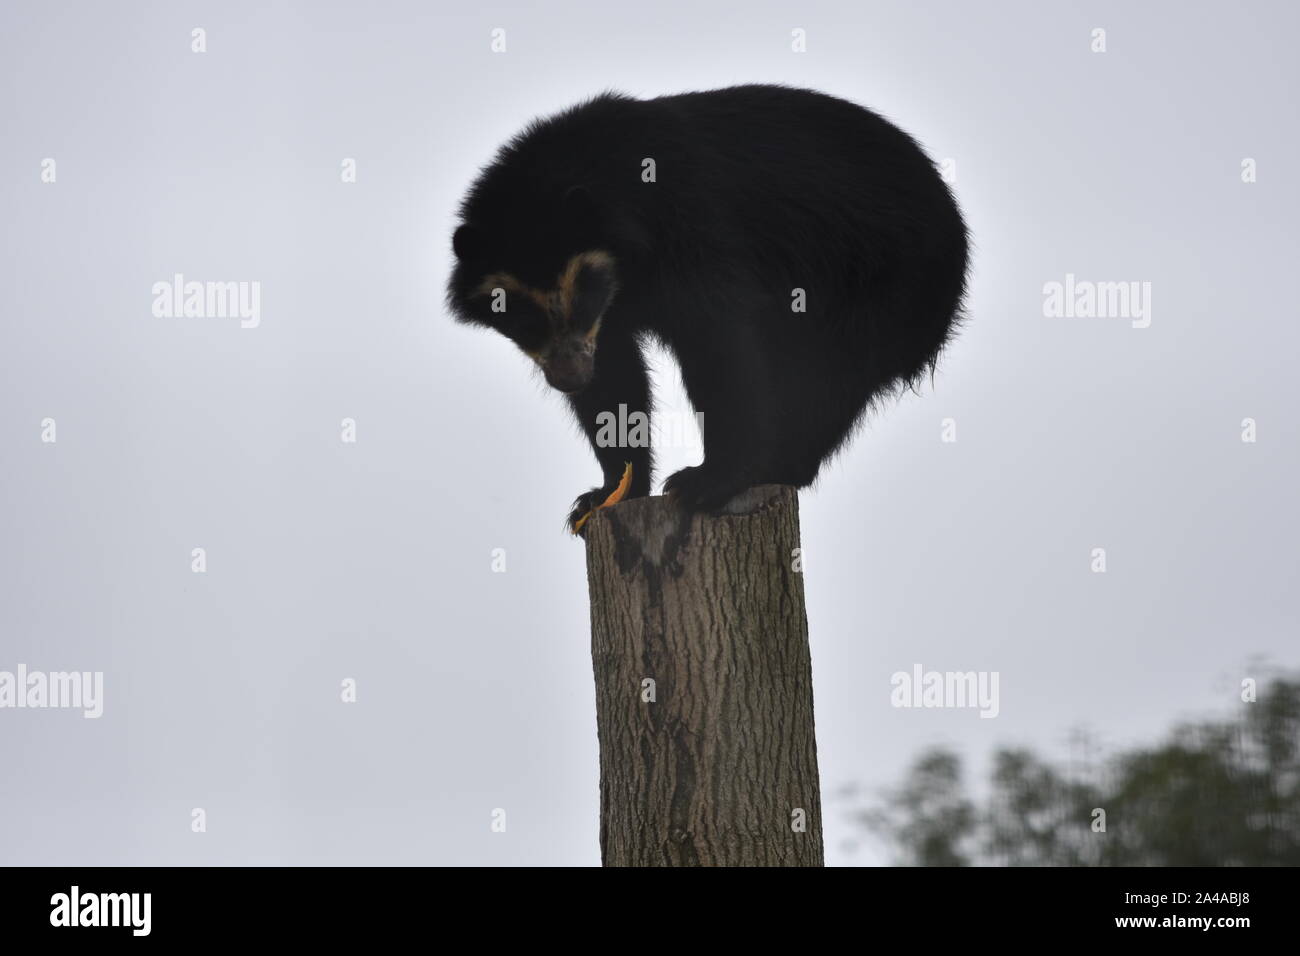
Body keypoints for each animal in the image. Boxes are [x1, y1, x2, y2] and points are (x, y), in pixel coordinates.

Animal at [446, 84, 969, 531]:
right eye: (517, 312)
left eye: (580, 291)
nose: (569, 378)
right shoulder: (607, 320)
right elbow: (615, 381)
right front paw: (607, 492)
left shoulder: (690, 235)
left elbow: (718, 345)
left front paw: (706, 481)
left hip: (883, 284)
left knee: (825, 377)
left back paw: (780, 464)